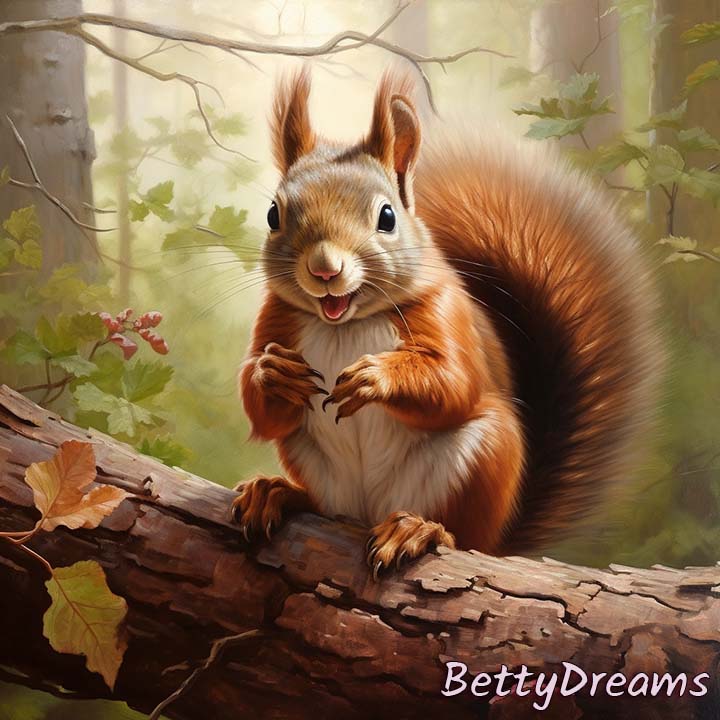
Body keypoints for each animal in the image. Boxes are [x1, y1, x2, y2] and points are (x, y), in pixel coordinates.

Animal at [231, 69, 661, 578]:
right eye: (273, 215)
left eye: (387, 216)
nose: (324, 269)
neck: (345, 323)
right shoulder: (275, 318)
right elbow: (260, 409)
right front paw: (274, 373)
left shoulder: (445, 311)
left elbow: (454, 382)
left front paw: (375, 377)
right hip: (314, 464)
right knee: (323, 504)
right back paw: (276, 492)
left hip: (482, 453)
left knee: (461, 535)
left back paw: (418, 529)